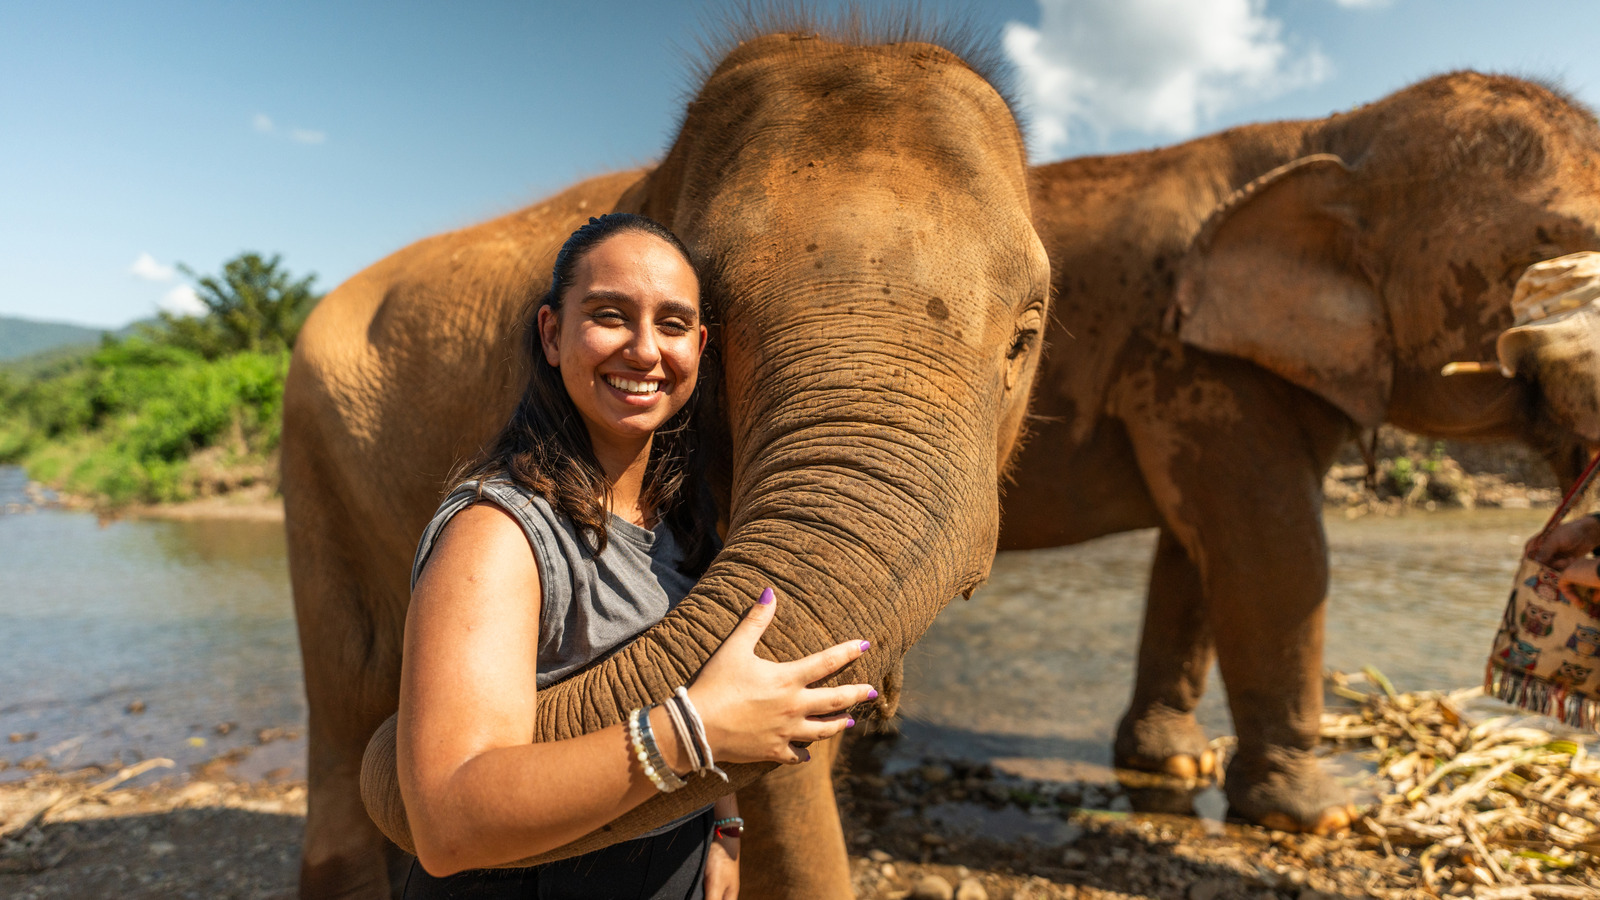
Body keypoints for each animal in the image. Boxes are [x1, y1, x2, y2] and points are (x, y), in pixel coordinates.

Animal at [997, 71, 1600, 832]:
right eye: (1557, 248)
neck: (1326, 134)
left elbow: (1198, 553)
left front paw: (1176, 765)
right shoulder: (1193, 358)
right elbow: (1272, 548)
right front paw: (1322, 818)